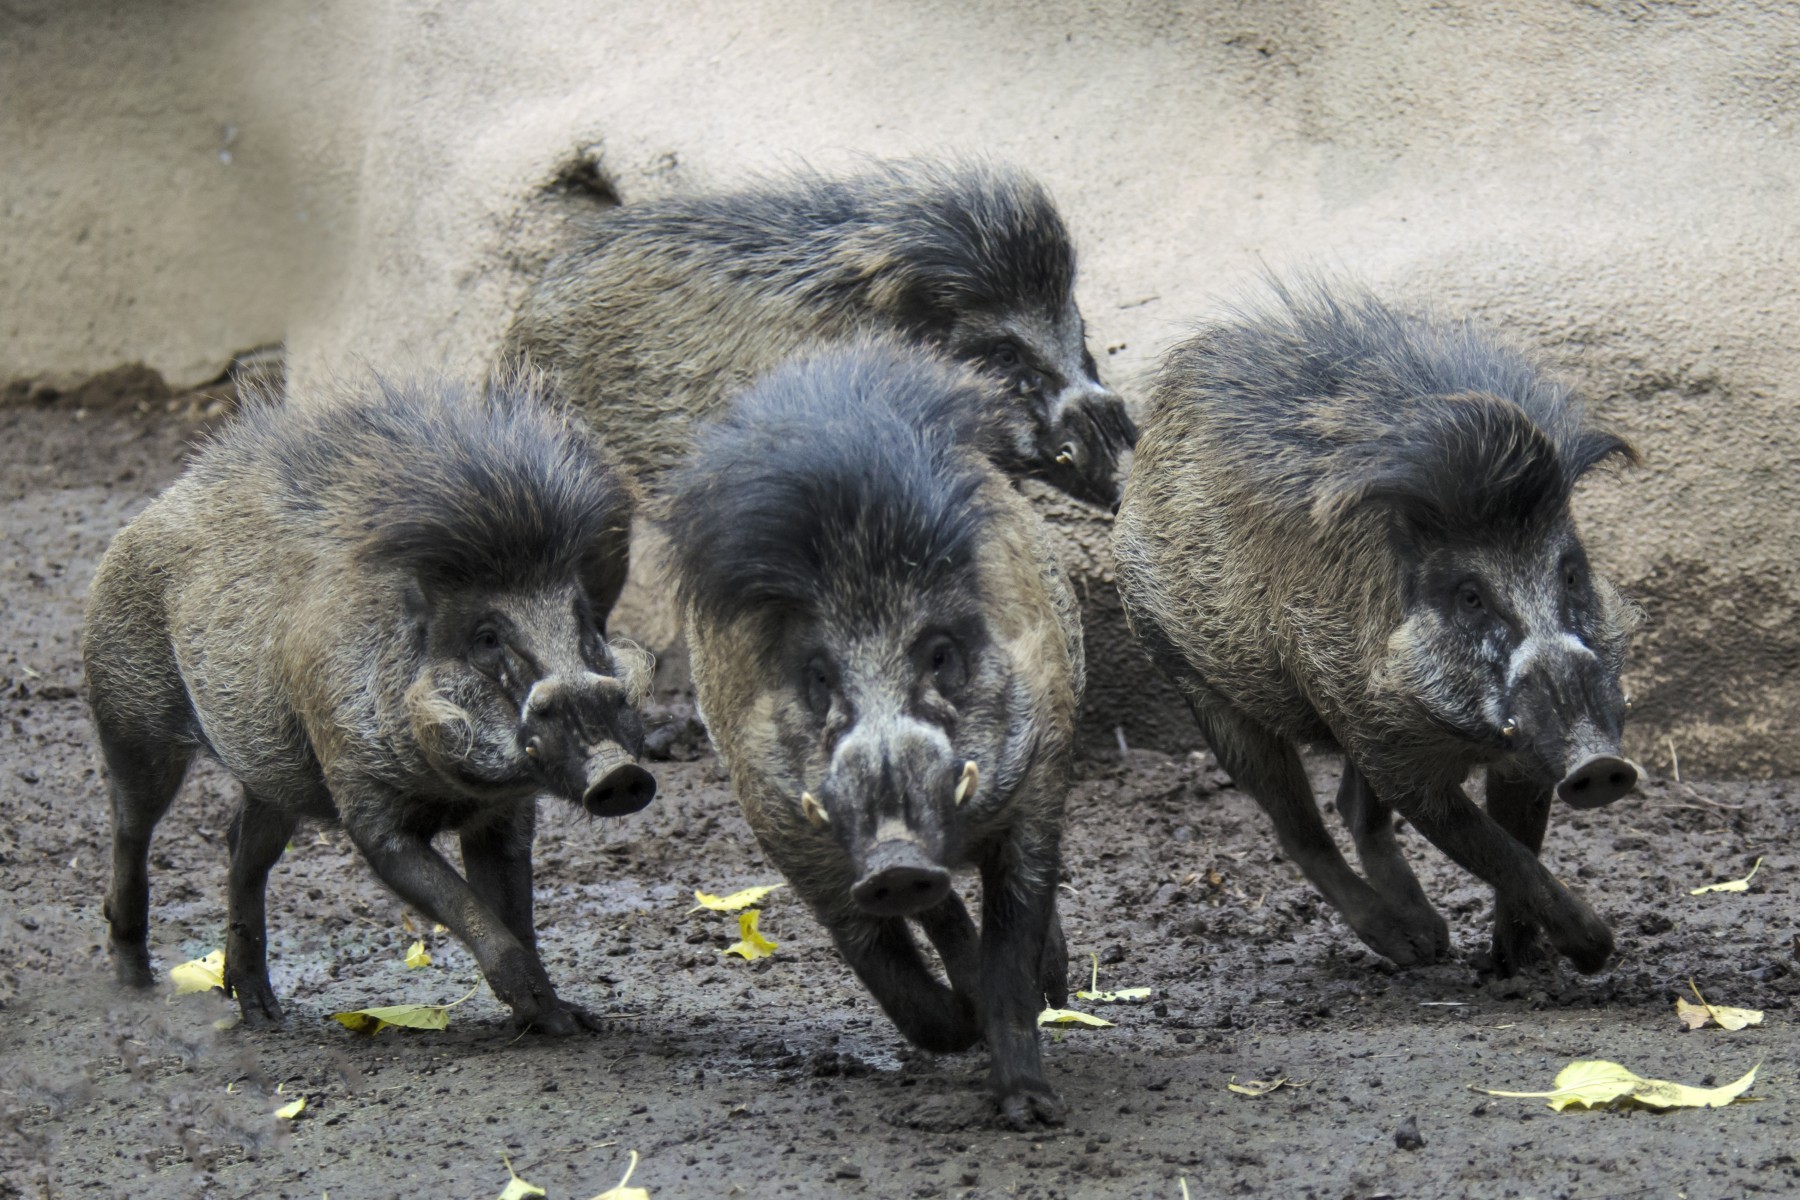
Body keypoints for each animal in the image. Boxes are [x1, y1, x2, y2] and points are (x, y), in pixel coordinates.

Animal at [83, 373, 655, 1032]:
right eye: (486, 638)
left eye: (582, 618)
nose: (621, 774)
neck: (455, 791)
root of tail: (144, 516)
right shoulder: (368, 810)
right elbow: (473, 912)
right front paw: (549, 1016)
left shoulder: (505, 815)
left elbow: (516, 914)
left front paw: (568, 1023)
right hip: (129, 718)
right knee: (131, 827)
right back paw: (136, 984)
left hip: (273, 780)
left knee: (242, 849)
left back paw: (263, 1014)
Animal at [663, 339, 1083, 1126]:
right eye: (819, 677)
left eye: (941, 655)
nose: (895, 860)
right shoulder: (788, 833)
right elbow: (881, 965)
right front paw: (961, 1025)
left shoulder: (1039, 781)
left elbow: (1014, 947)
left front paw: (1032, 1111)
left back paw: (1056, 988)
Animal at [1112, 280, 1640, 976]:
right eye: (1469, 595)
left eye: (1573, 573)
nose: (1601, 764)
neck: (1461, 734)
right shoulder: (1392, 750)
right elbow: (1497, 851)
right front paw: (1592, 950)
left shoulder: (1507, 750)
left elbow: (1519, 841)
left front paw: (1515, 963)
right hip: (1199, 682)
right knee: (1297, 828)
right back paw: (1413, 945)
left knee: (1351, 810)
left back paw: (1433, 940)